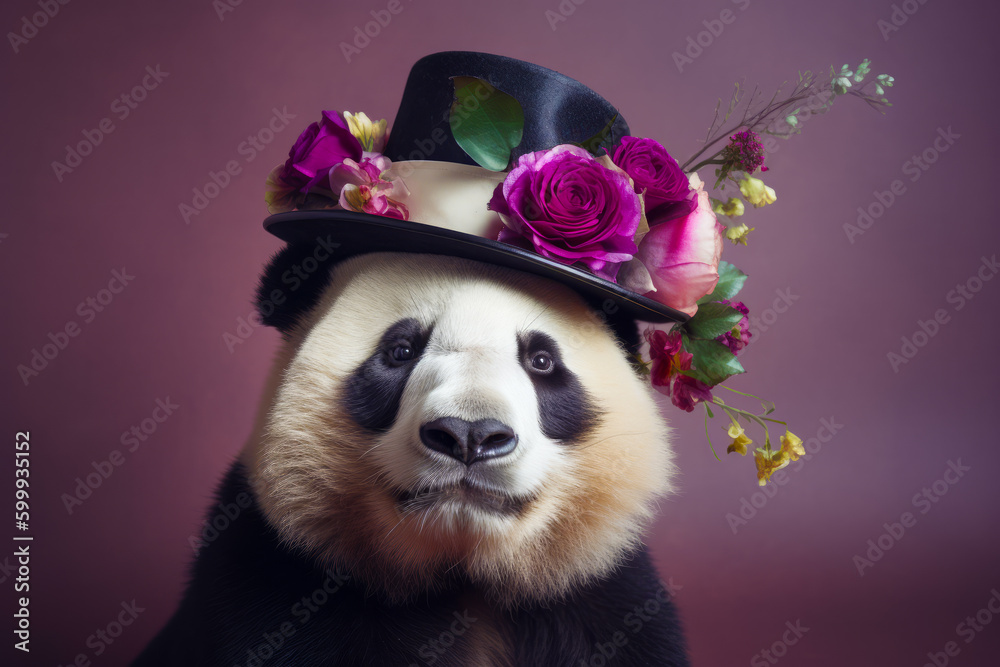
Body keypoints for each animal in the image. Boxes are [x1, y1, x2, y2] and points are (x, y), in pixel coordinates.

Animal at [133, 242, 690, 666]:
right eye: (401, 350)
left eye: (541, 361)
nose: (469, 435)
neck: (465, 576)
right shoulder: (275, 587)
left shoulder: (601, 602)